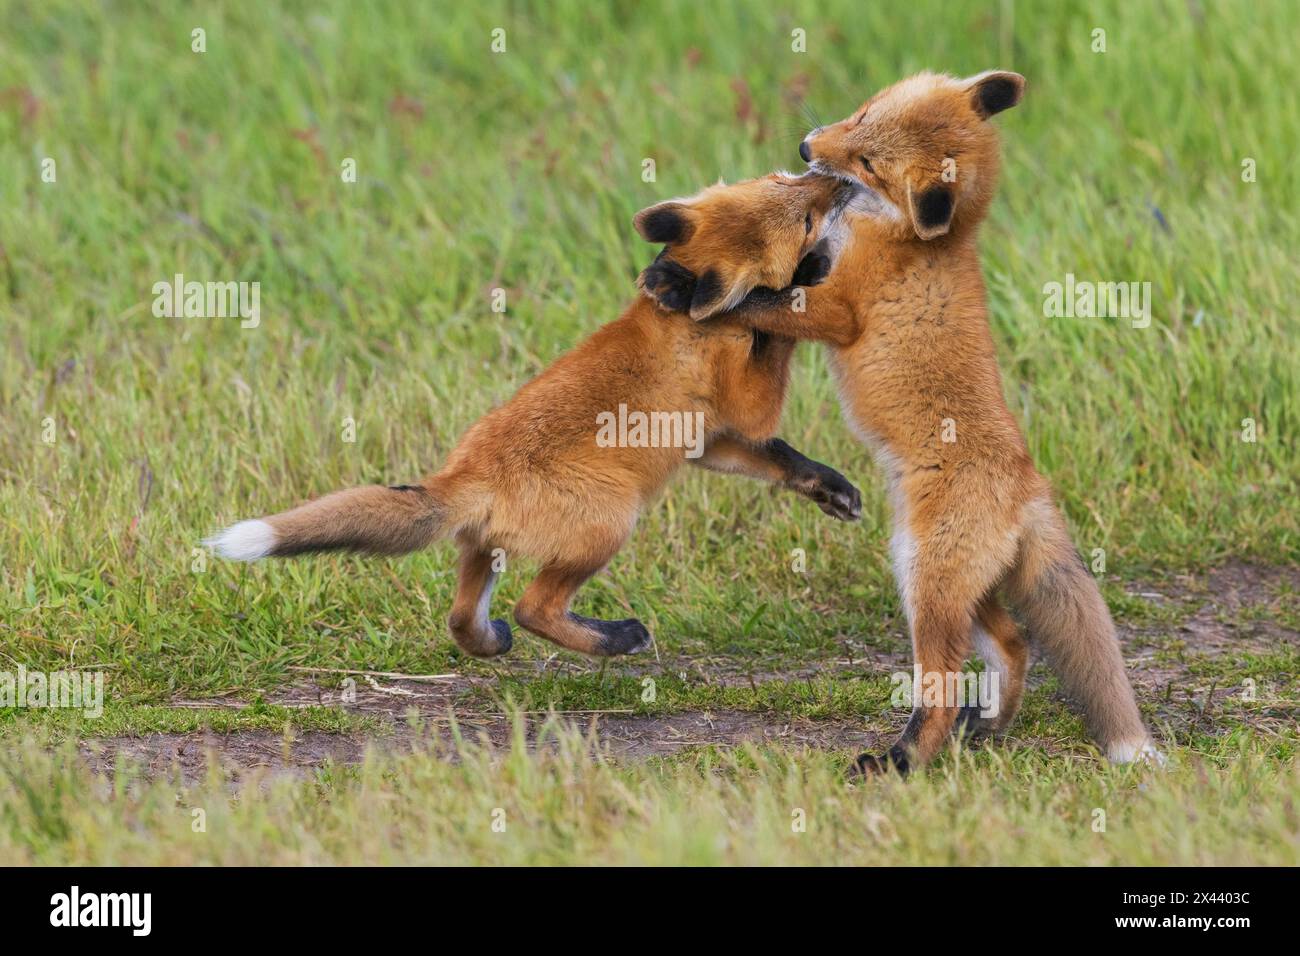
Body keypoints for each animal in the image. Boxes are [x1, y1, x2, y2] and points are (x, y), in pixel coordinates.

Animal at [206, 172, 864, 660]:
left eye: (783, 179)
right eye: (805, 220)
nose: (835, 179)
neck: (683, 326)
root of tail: (463, 477)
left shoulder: (708, 439)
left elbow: (782, 460)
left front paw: (832, 490)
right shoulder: (745, 406)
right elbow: (775, 352)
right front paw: (800, 281)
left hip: (483, 548)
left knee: (461, 618)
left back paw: (491, 642)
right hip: (608, 525)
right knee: (533, 609)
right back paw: (614, 640)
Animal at [642, 71, 1162, 773]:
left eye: (868, 163)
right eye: (864, 114)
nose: (806, 148)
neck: (900, 233)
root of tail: (1028, 486)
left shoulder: (837, 308)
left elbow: (761, 300)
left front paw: (681, 283)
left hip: (924, 584)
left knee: (940, 689)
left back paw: (903, 758)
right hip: (957, 589)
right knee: (1015, 644)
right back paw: (986, 726)